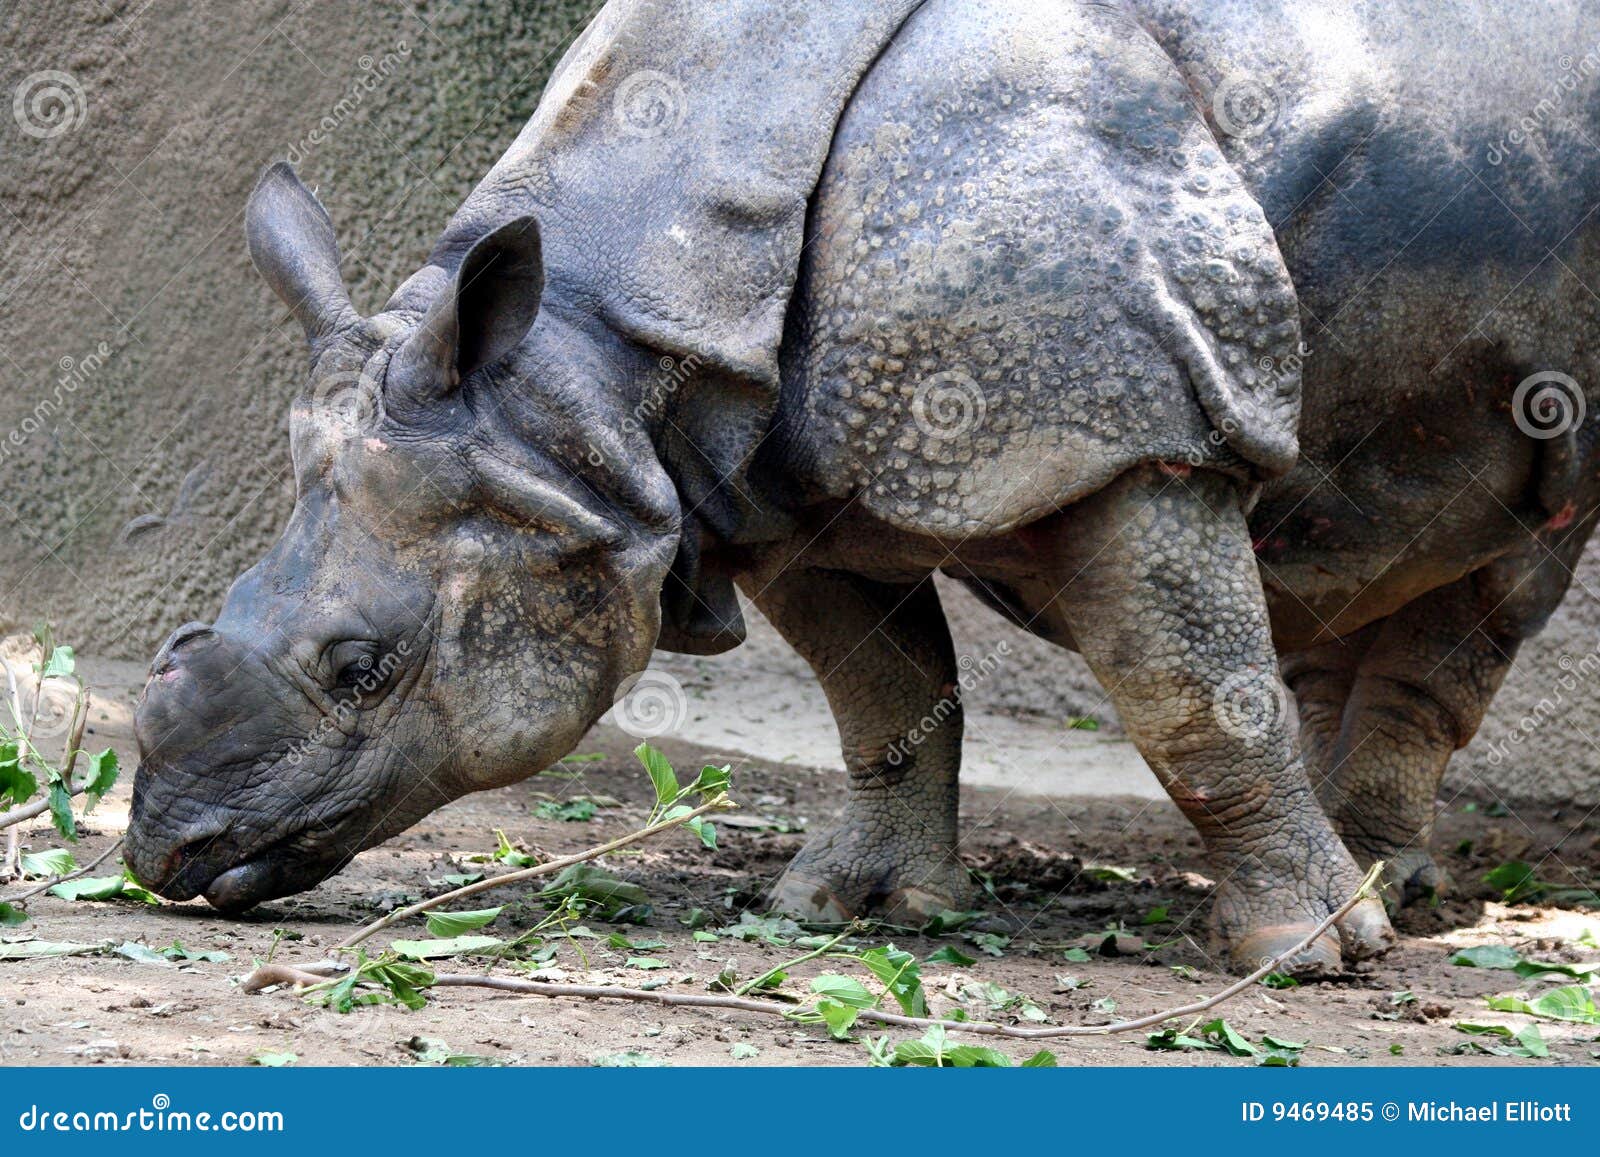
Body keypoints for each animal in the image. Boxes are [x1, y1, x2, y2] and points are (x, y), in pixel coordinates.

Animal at [124, 0, 1600, 975]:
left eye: (365, 668)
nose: (168, 856)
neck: (581, 374)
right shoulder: (760, 478)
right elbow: (885, 689)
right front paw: (851, 906)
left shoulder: (1116, 426)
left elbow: (1190, 689)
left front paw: (1304, 957)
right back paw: (1385, 880)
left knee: (1514, 543)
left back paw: (1374, 901)